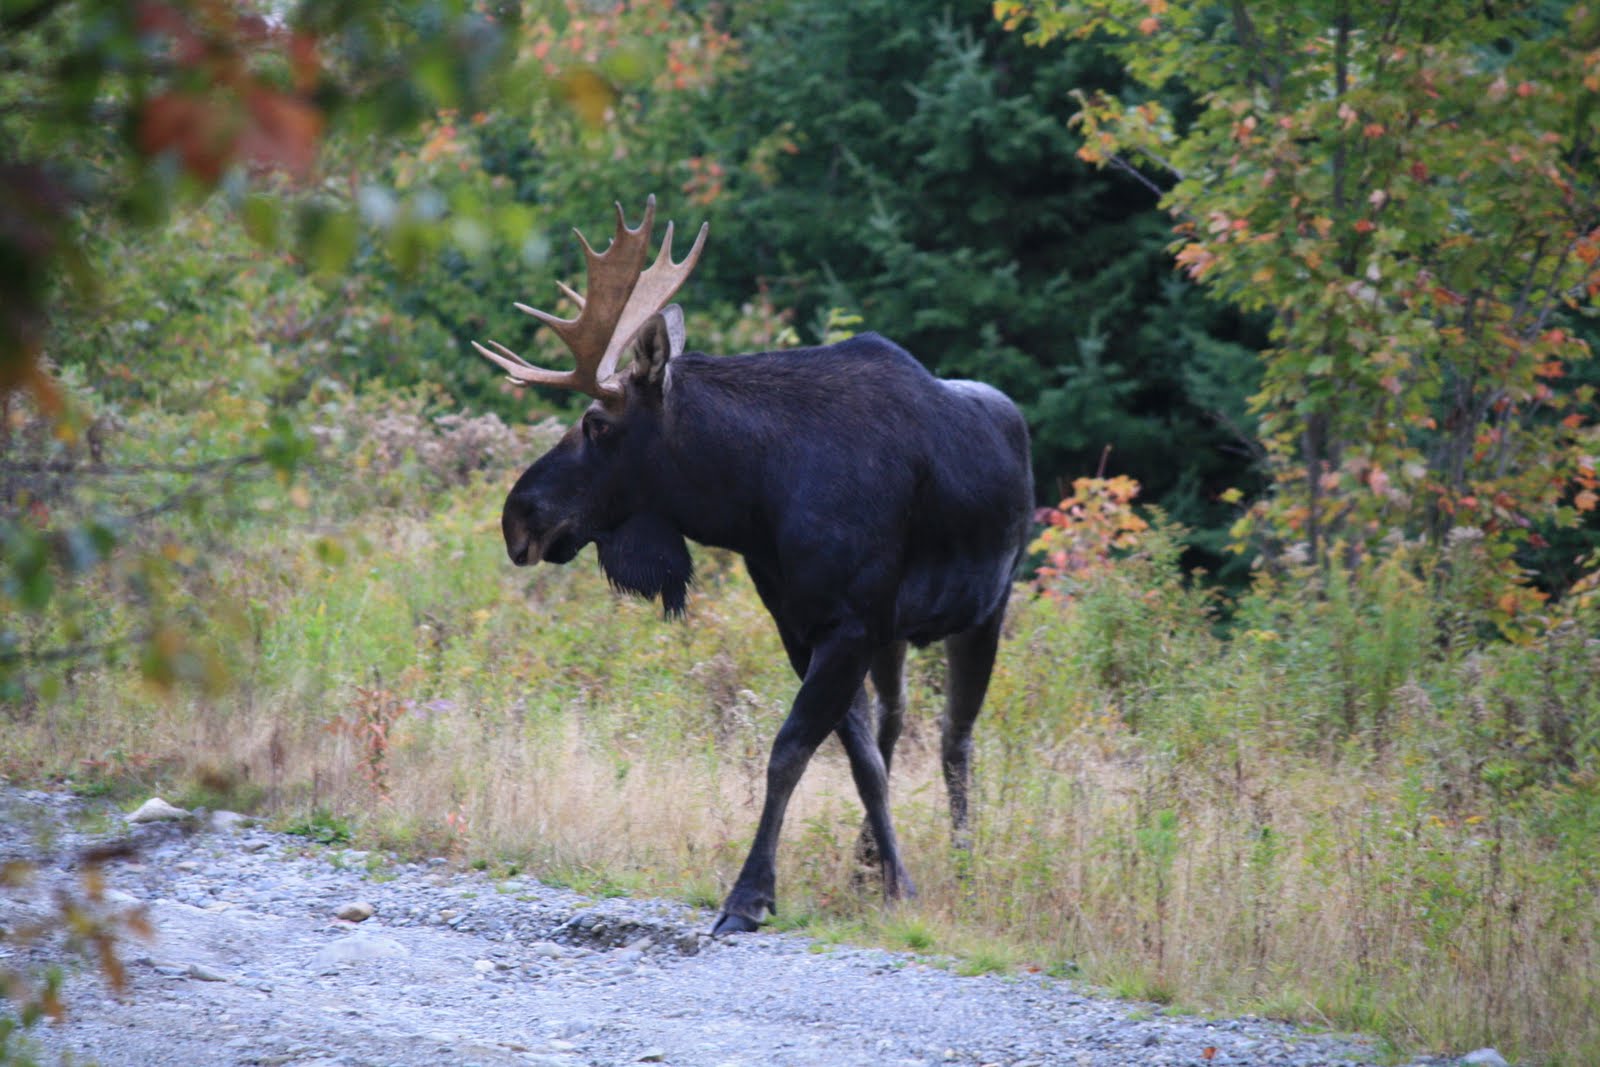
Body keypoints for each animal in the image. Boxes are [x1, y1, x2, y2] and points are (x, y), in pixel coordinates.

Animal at [472, 197, 1033, 934]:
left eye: (597, 424)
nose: (519, 516)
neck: (755, 496)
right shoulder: (802, 624)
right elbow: (862, 761)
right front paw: (890, 879)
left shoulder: (850, 623)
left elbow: (789, 749)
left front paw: (751, 894)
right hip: (898, 634)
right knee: (896, 721)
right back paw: (867, 860)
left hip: (985, 608)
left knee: (954, 735)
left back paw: (964, 862)